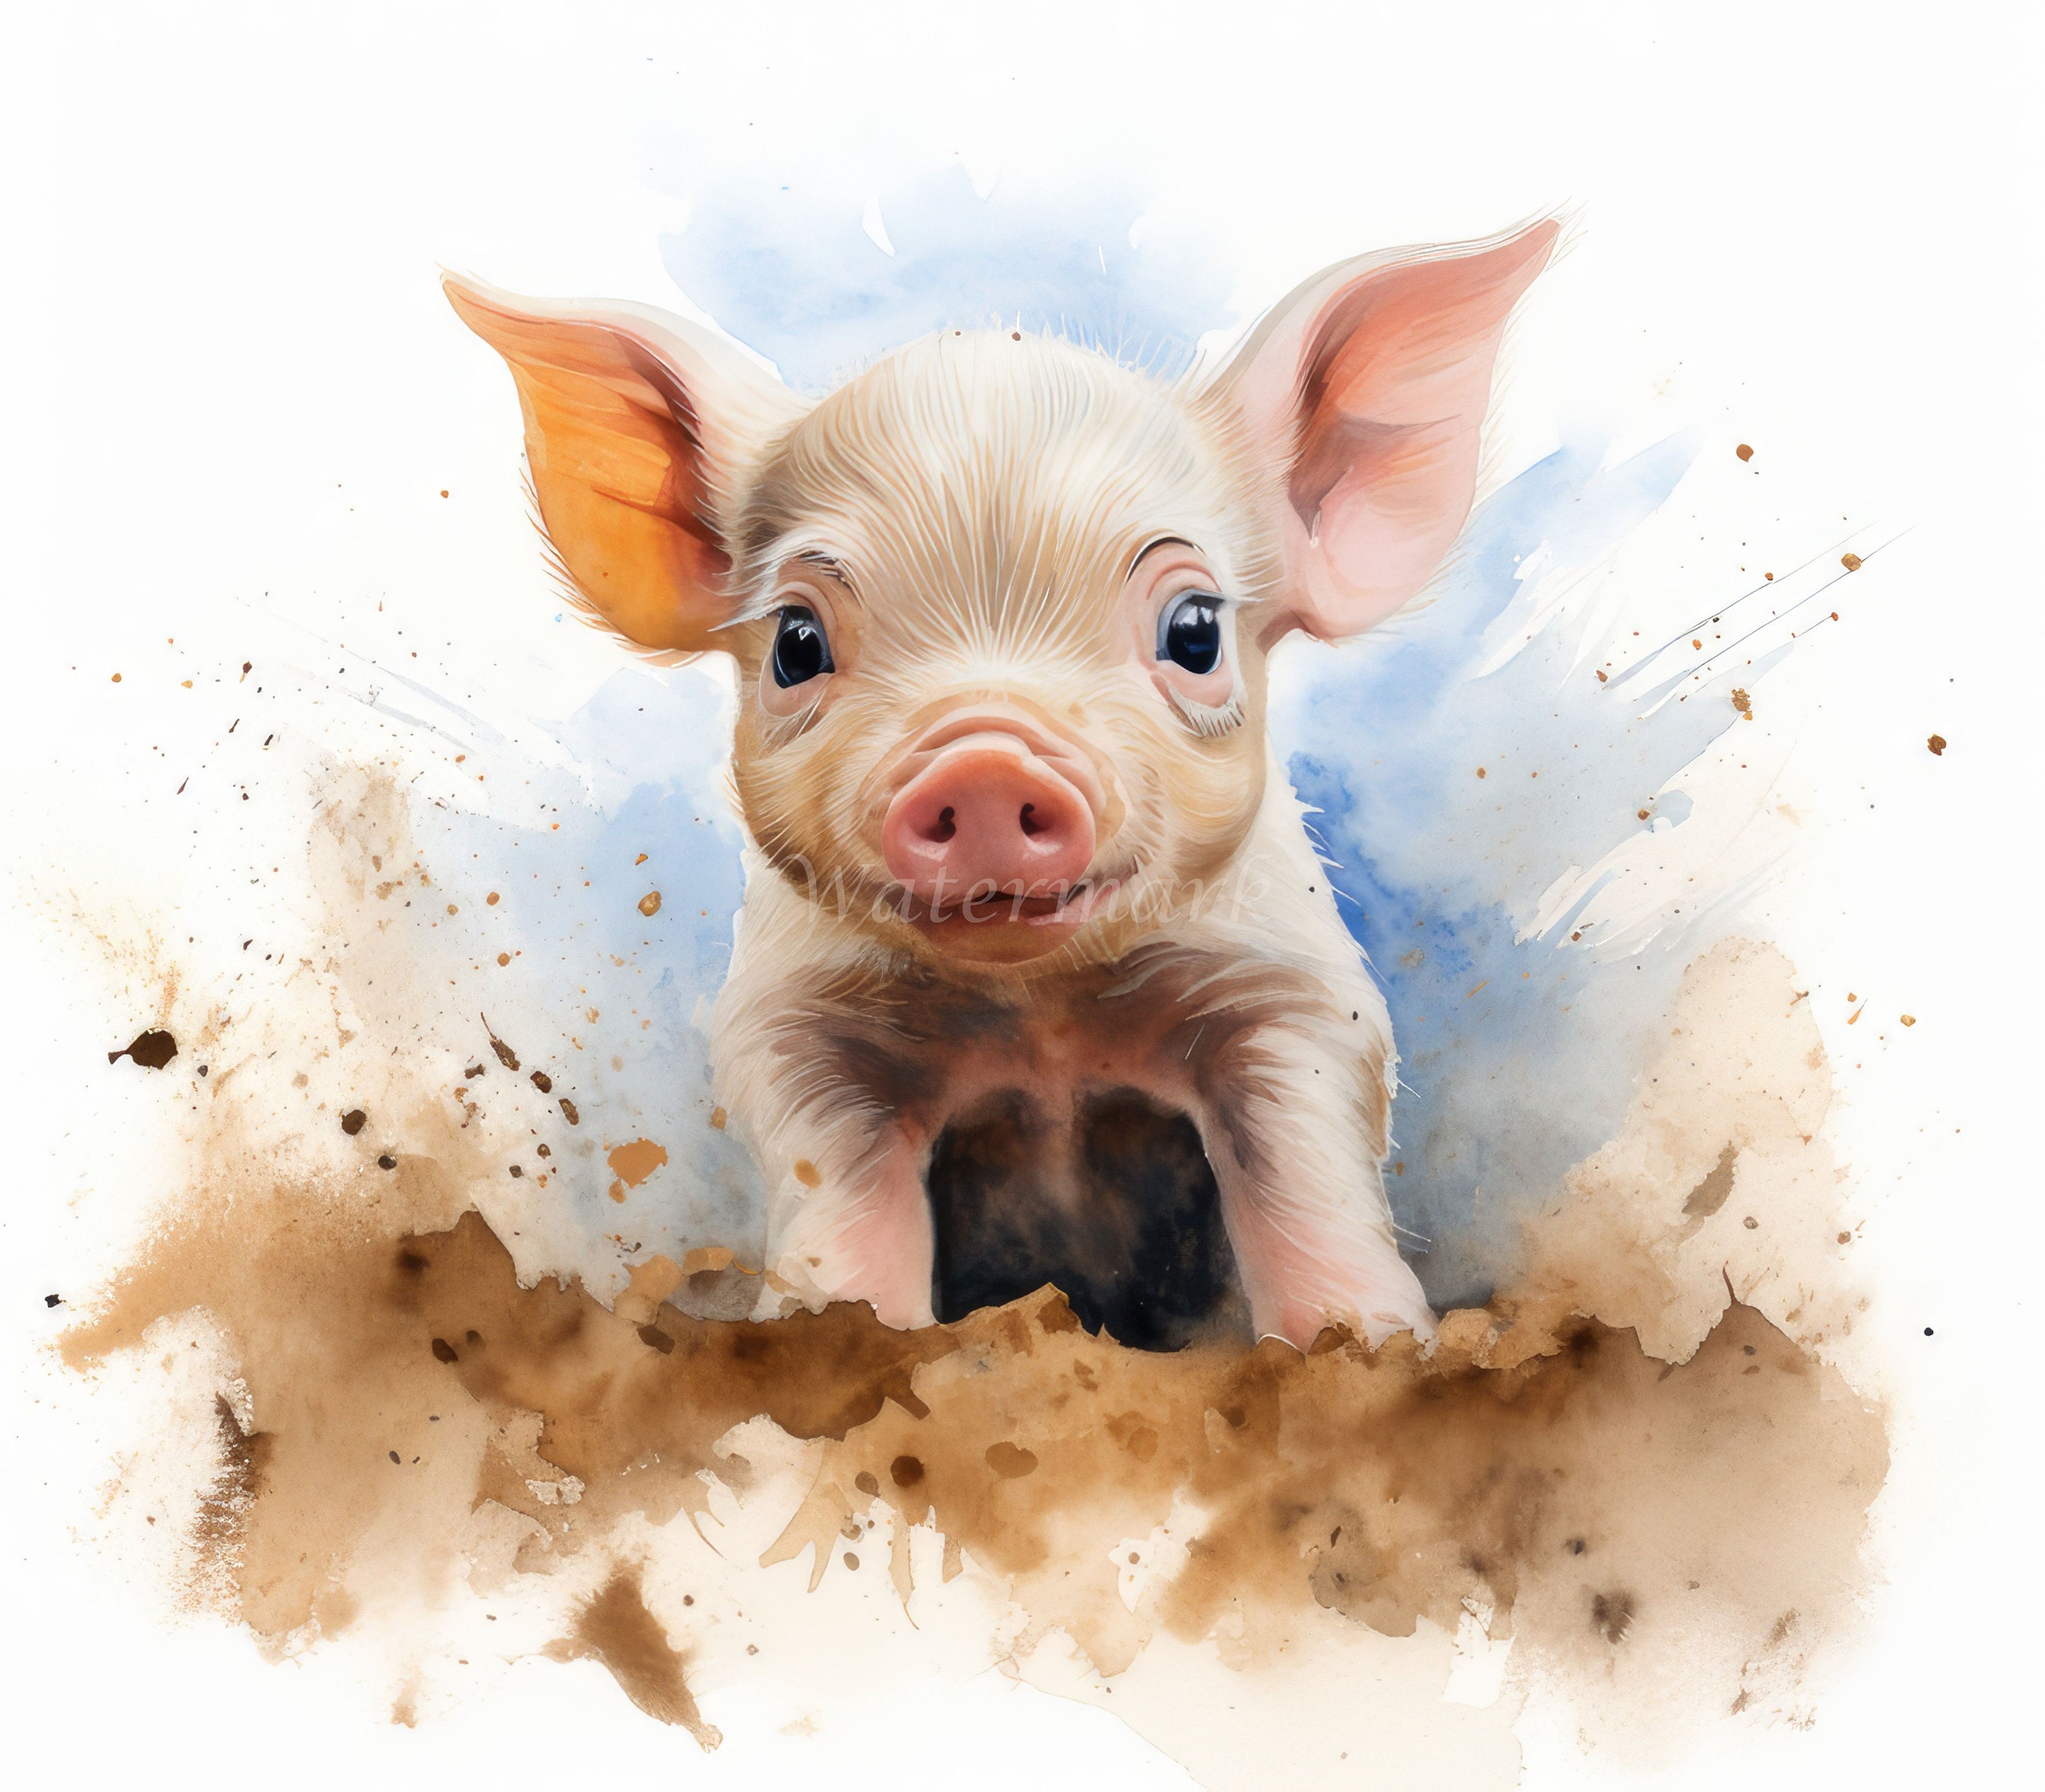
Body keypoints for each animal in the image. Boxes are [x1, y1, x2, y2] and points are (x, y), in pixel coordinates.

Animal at [446, 217, 1556, 1352]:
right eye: (796, 643)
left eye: (1196, 630)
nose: (984, 760)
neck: (1039, 1019)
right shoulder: (798, 1023)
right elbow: (840, 1198)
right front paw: (834, 1332)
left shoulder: (1290, 986)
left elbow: (1305, 1175)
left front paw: (1364, 1346)